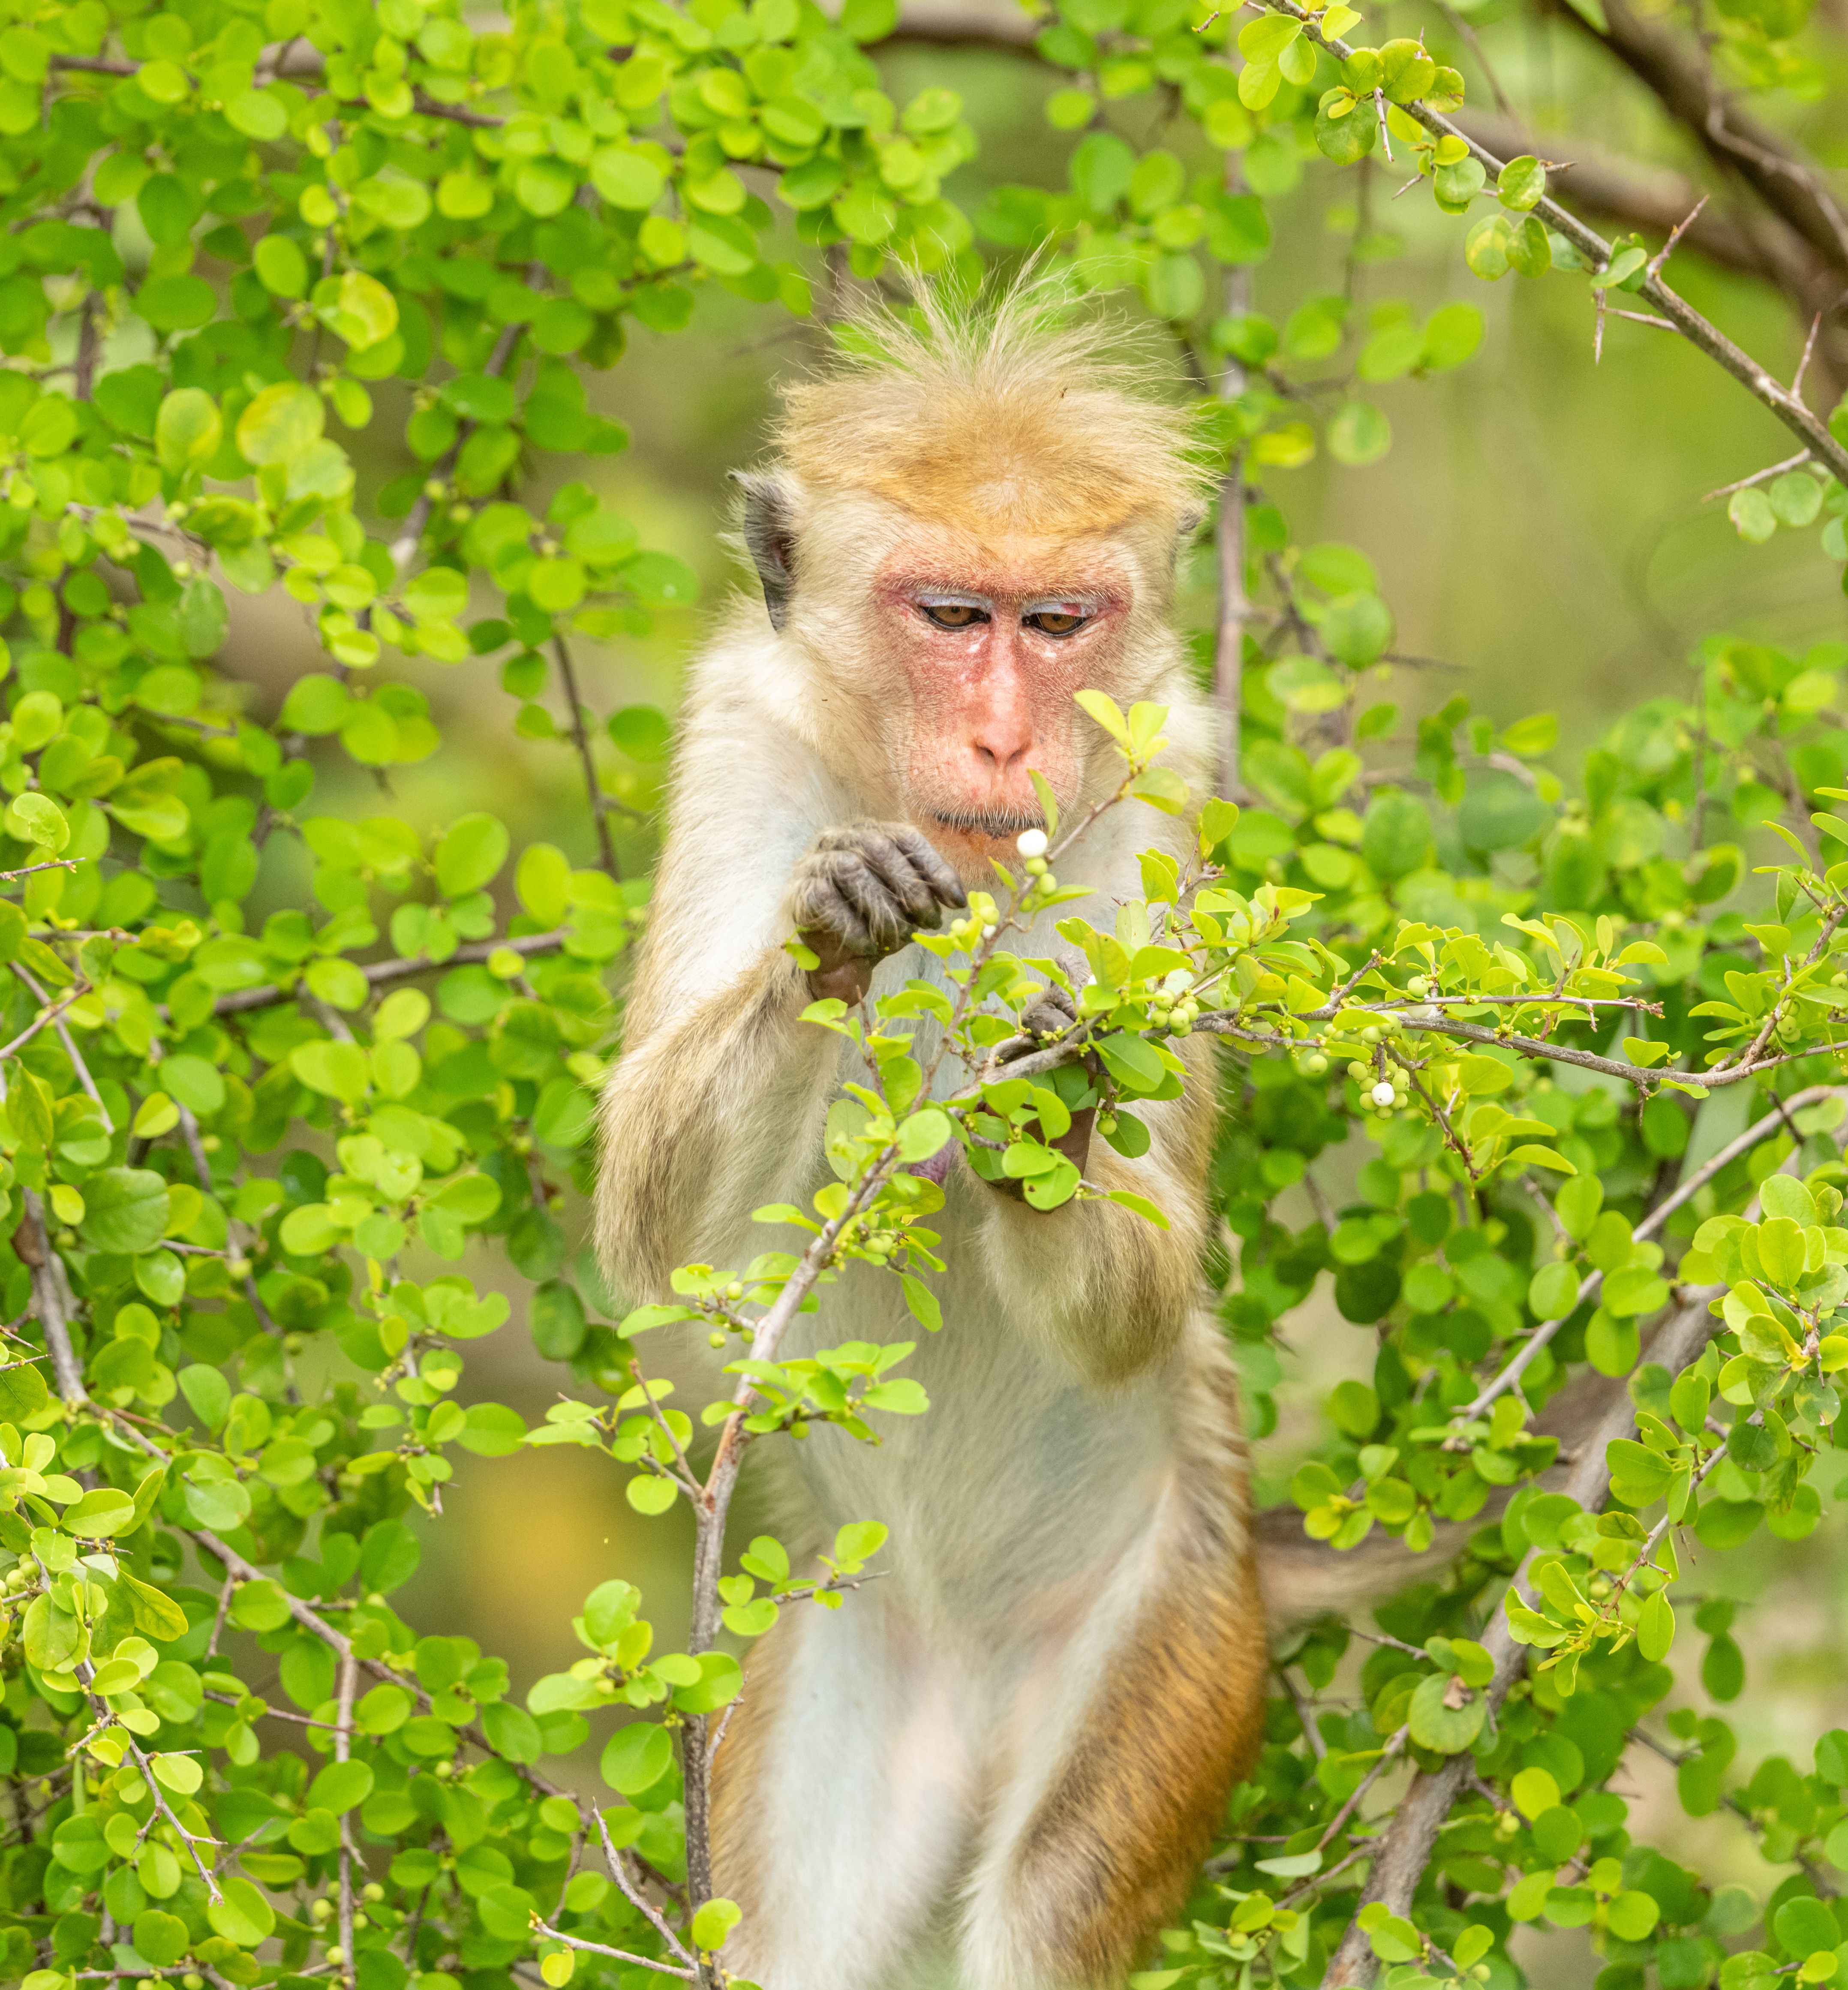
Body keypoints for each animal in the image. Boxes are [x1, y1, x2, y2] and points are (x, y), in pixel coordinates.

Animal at [594, 286, 1275, 1990]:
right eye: (953, 617)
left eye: (1058, 624)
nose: (1004, 746)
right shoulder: (737, 735)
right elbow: (645, 1212)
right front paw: (830, 933)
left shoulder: (1168, 775)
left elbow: (1151, 1269)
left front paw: (1049, 1122)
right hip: (843, 1658)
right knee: (784, 1945)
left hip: (1167, 1622)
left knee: (1041, 1907)